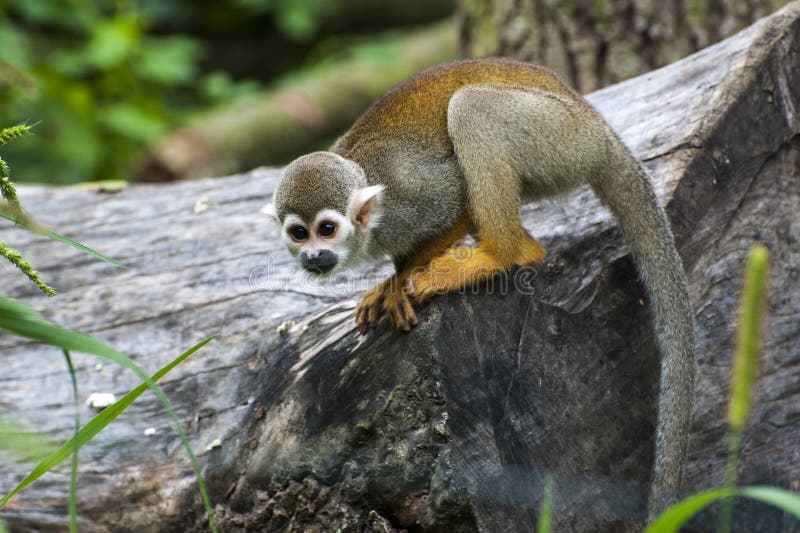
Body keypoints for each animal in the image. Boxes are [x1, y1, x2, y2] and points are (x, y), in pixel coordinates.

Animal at [267, 57, 696, 521]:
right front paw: (389, 284)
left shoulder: (408, 200)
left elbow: (455, 199)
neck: (371, 226)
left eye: (326, 229)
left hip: (562, 137)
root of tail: (601, 129)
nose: (313, 256)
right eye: (298, 233)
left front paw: (400, 281)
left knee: (473, 108)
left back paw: (502, 253)